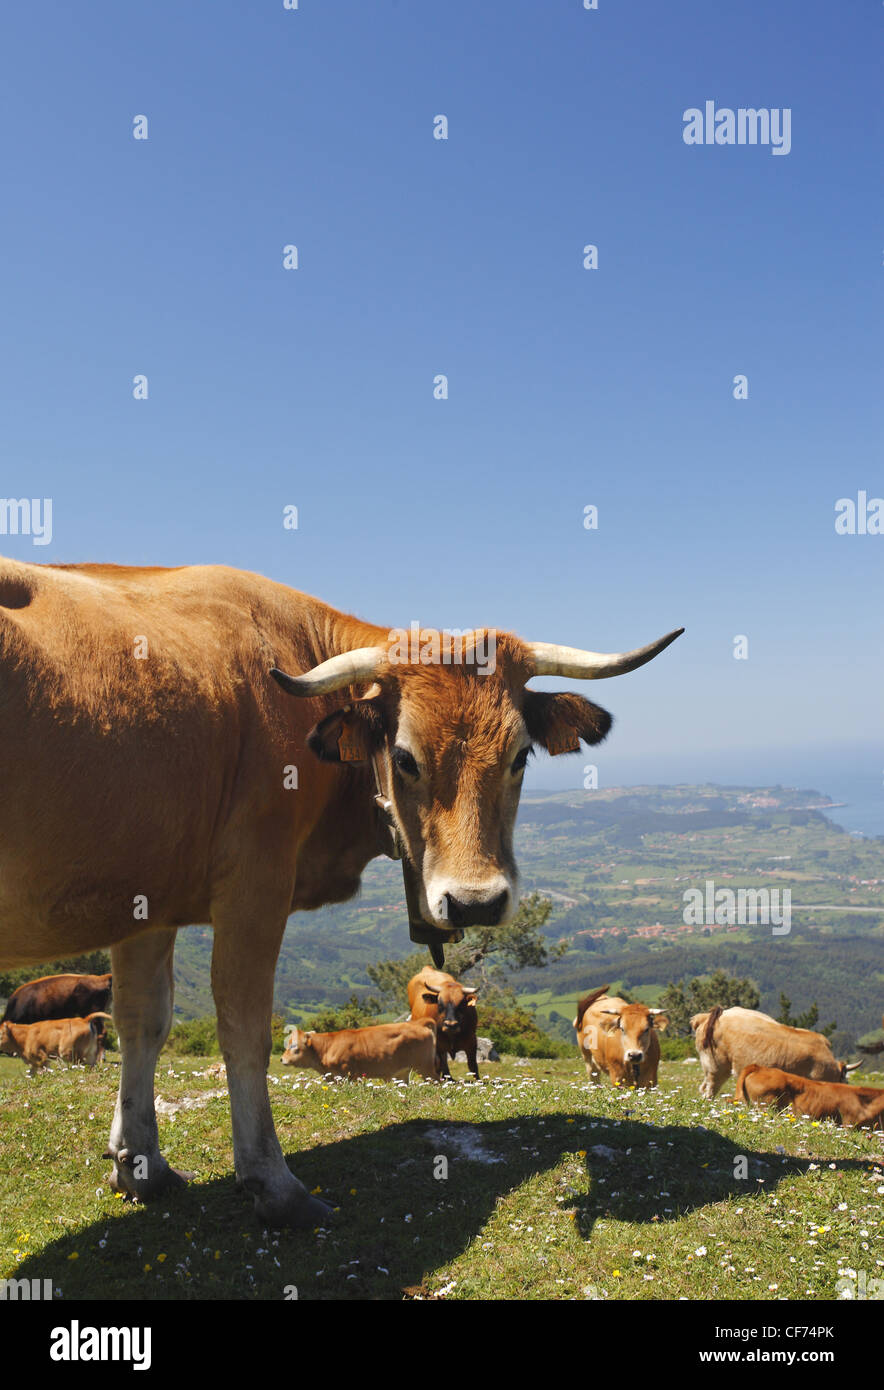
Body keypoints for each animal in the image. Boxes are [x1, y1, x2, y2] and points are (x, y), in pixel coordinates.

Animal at [281, 1020, 439, 1082]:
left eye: (293, 1046)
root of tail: (418, 1024)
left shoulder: (350, 1075)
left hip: (425, 1067)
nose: (282, 1059)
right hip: (402, 1073)